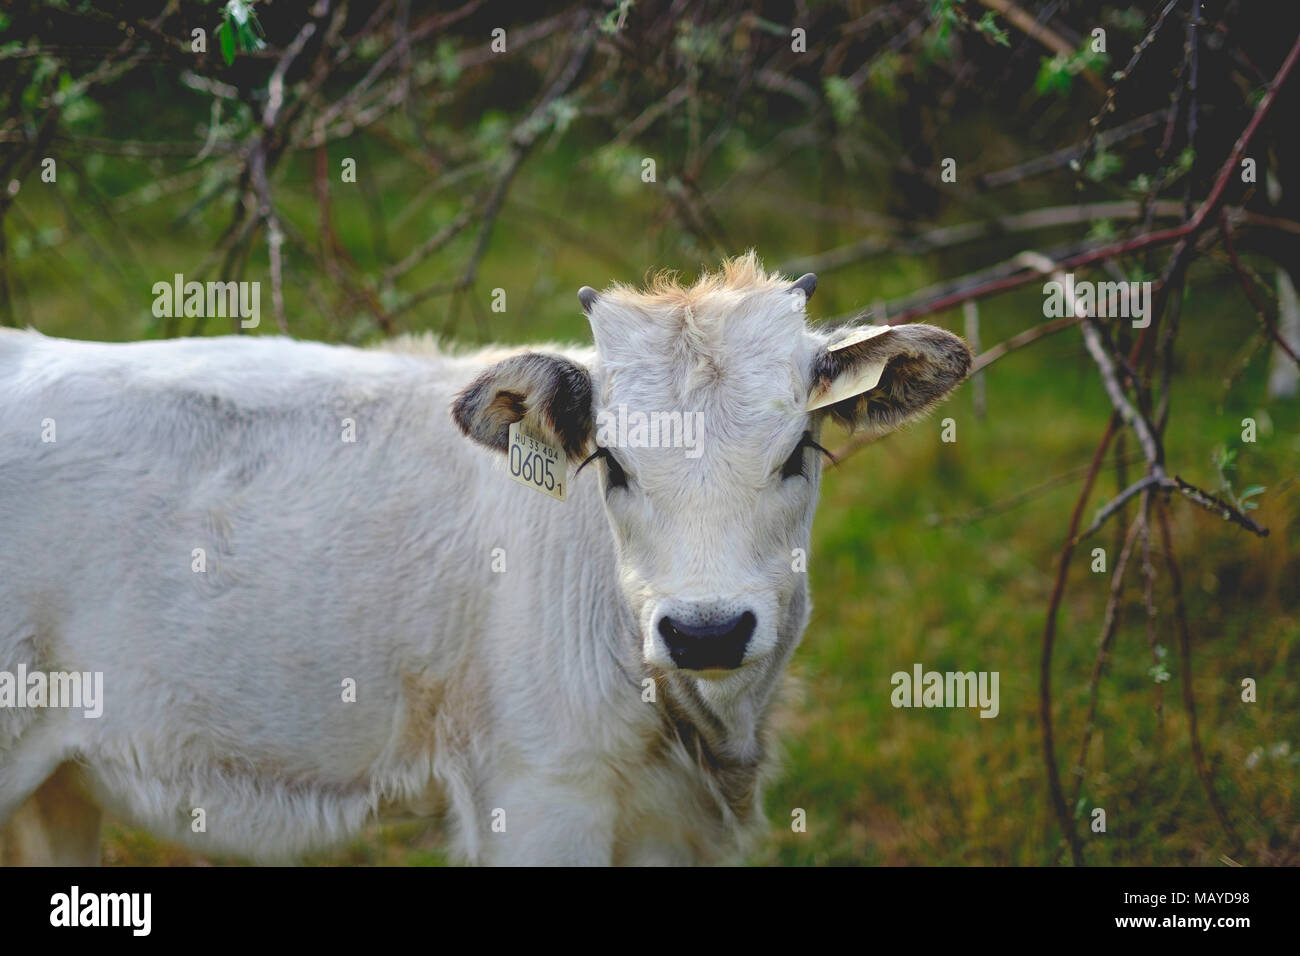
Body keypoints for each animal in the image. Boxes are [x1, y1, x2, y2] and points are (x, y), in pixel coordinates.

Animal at [0, 253, 970, 865]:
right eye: (612, 463)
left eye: (799, 451)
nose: (706, 631)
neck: (706, 734)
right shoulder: (541, 795)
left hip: (57, 785)